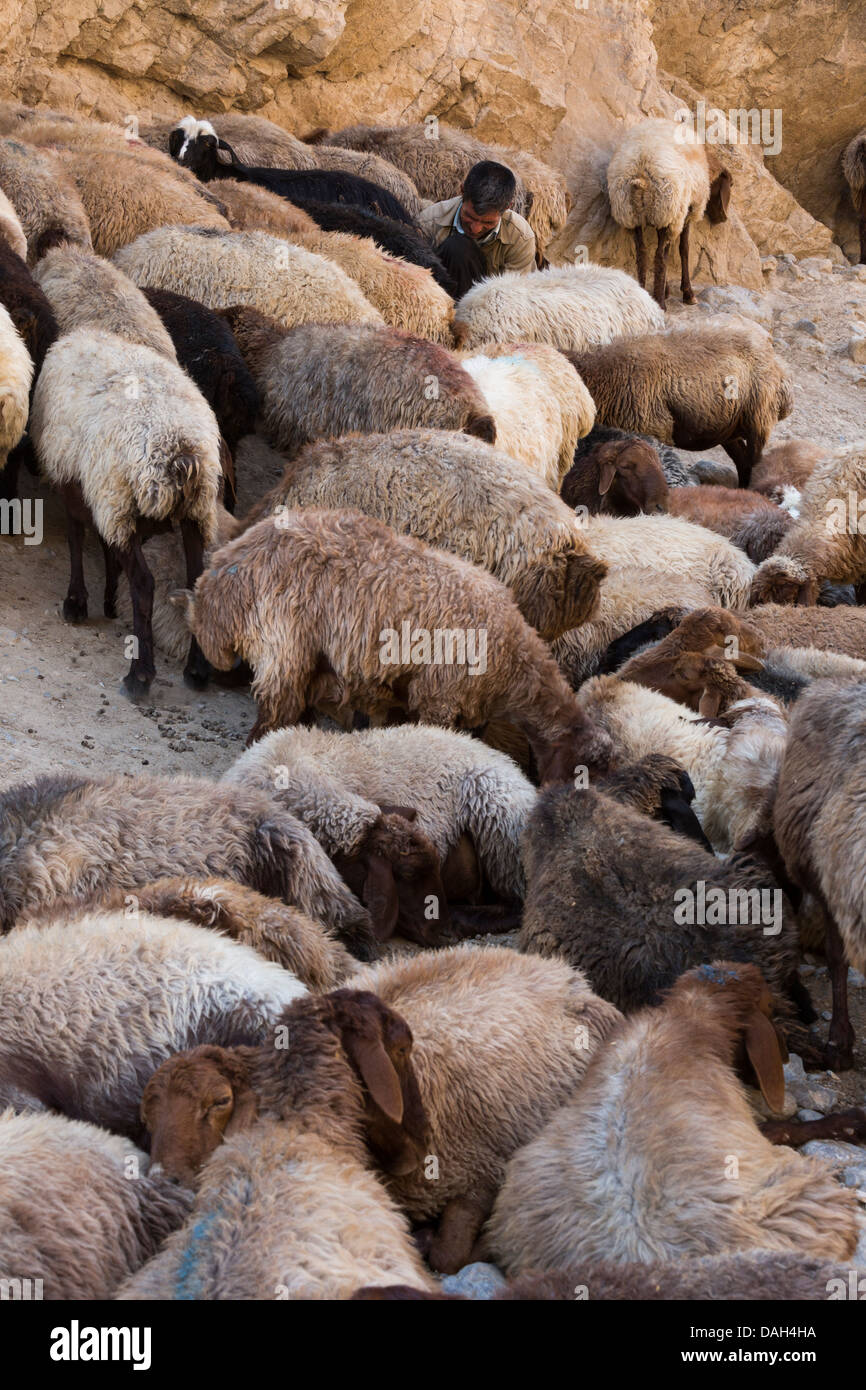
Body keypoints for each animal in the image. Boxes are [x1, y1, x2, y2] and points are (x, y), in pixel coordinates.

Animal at [30, 327, 222, 692]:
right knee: (196, 583)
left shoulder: (76, 483)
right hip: (196, 511)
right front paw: (105, 599)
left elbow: (76, 538)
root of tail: (182, 454)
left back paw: (139, 675)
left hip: (120, 501)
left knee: (144, 583)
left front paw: (77, 602)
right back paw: (197, 671)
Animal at [567, 320, 794, 487]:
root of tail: (779, 366)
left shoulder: (655, 429)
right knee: (743, 462)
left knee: (755, 462)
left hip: (759, 422)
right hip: (729, 429)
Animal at [607, 117, 731, 306]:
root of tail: (641, 174)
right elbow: (683, 249)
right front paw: (687, 293)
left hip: (633, 214)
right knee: (659, 256)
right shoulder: (686, 211)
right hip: (667, 209)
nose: (722, 219)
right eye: (730, 184)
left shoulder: (667, 217)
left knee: (642, 253)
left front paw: (666, 290)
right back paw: (661, 303)